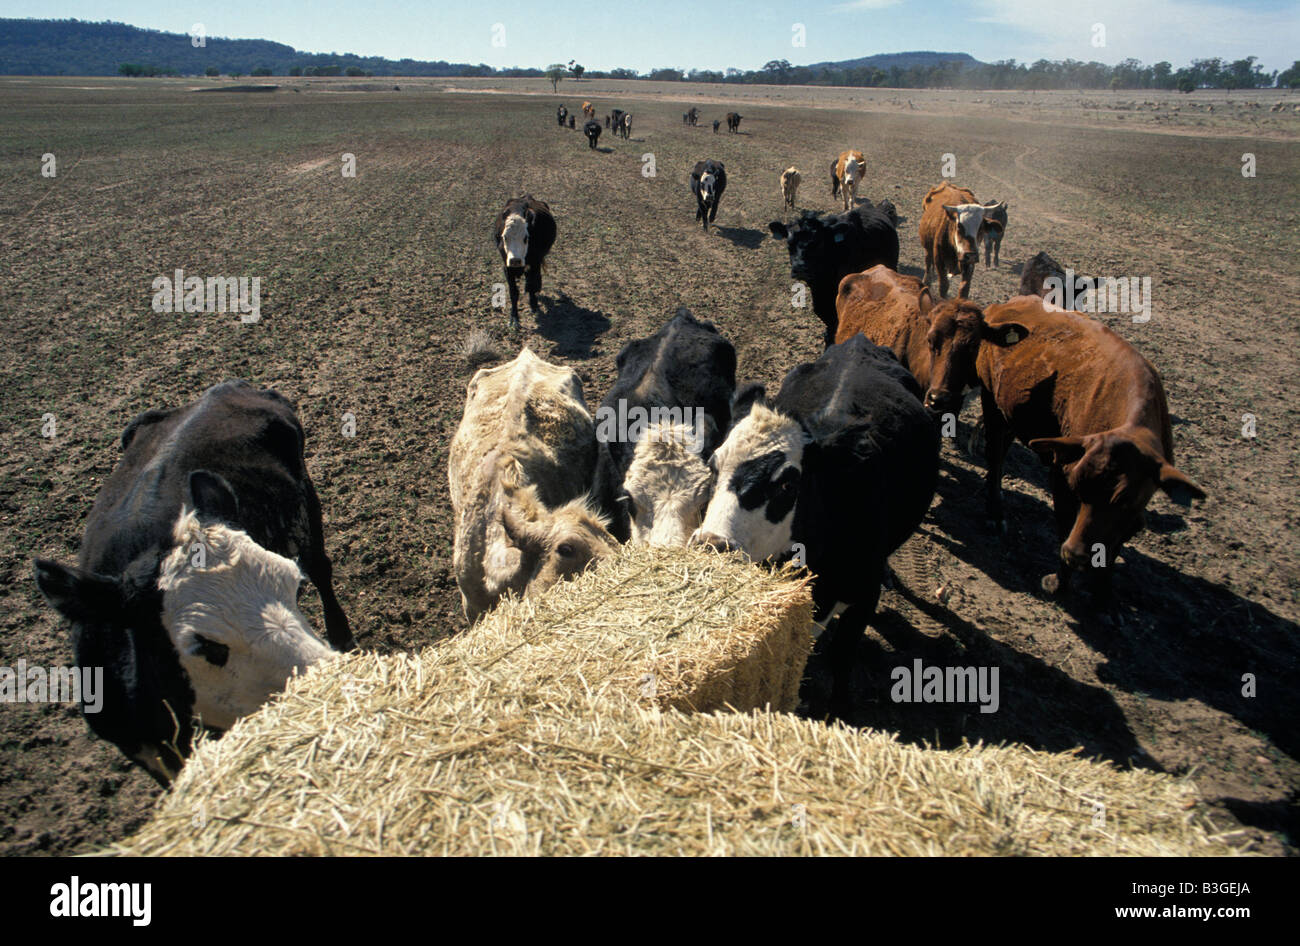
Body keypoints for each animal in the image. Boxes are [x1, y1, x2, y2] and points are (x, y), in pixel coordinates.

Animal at [494, 195, 557, 330]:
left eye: (526, 237)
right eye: (504, 237)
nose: (515, 261)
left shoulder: (535, 263)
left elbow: (532, 285)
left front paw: (534, 305)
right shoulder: (507, 268)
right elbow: (513, 292)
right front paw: (514, 318)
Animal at [928, 295, 1205, 596]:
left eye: (1125, 499)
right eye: (1079, 487)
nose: (1077, 555)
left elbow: (1115, 544)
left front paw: (1102, 591)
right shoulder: (1063, 473)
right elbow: (1065, 521)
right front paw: (1058, 583)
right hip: (993, 406)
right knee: (996, 456)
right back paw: (995, 512)